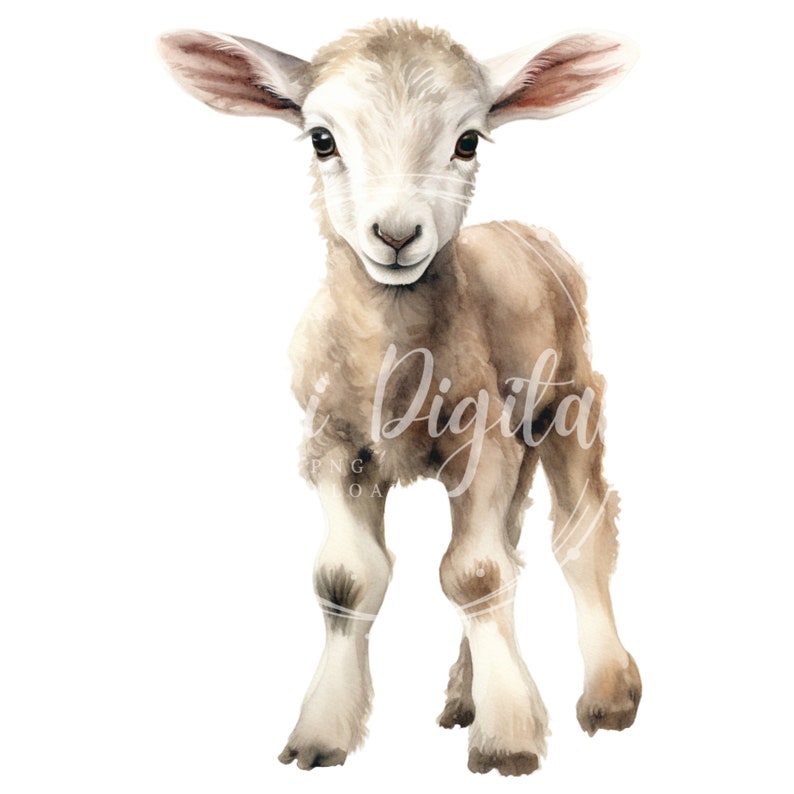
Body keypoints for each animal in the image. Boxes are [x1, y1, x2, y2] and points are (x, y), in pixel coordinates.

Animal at [158, 19, 641, 776]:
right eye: (321, 138)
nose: (395, 234)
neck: (393, 367)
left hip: (568, 403)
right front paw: (319, 733)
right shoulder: (331, 448)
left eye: (468, 140)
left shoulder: (480, 438)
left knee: (579, 538)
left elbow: (473, 573)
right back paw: (465, 695)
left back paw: (608, 693)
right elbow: (347, 580)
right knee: (512, 543)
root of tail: (521, 230)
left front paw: (508, 740)